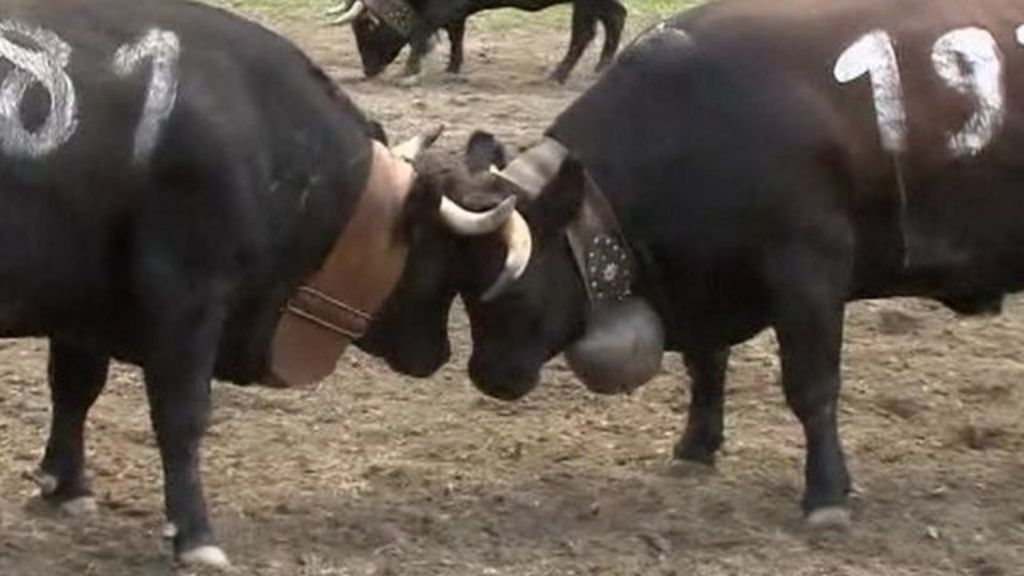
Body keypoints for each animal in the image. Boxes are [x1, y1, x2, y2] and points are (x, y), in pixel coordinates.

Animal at [0, 0, 522, 568]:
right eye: (440, 254)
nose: (441, 354)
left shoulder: (85, 301)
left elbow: (75, 386)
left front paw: (65, 485)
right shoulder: (188, 298)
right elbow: (181, 417)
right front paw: (195, 535)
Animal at [325, 0, 627, 83]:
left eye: (365, 26)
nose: (368, 71)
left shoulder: (442, 9)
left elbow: (423, 32)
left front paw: (409, 69)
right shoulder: (455, 12)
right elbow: (456, 34)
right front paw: (452, 68)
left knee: (583, 34)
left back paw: (559, 75)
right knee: (616, 17)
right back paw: (602, 68)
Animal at [376, 0, 1024, 529]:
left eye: (507, 279)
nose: (488, 375)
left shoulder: (810, 274)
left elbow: (811, 387)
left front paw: (826, 494)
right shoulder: (702, 282)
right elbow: (705, 368)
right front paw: (696, 447)